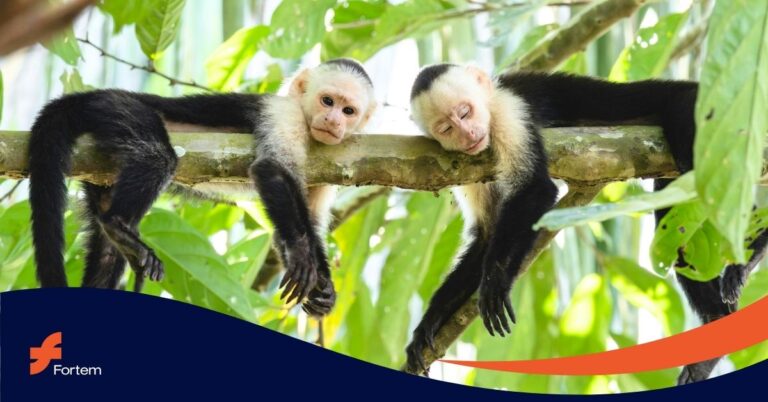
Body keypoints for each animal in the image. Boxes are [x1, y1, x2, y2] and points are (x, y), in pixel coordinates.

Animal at [28, 58, 376, 317]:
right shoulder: (283, 114)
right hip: (115, 108)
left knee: (106, 247)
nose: (333, 121)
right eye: (327, 101)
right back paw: (120, 225)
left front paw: (323, 287)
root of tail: (93, 94)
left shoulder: (332, 157)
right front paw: (303, 256)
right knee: (157, 155)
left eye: (348, 111)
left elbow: (306, 224)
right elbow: (271, 169)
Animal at [404, 63, 768, 384]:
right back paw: (715, 328)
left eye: (465, 113)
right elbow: (488, 234)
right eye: (446, 128)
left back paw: (752, 251)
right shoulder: (467, 164)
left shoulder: (509, 113)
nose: (468, 134)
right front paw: (429, 322)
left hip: (695, 108)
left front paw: (495, 280)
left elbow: (536, 189)